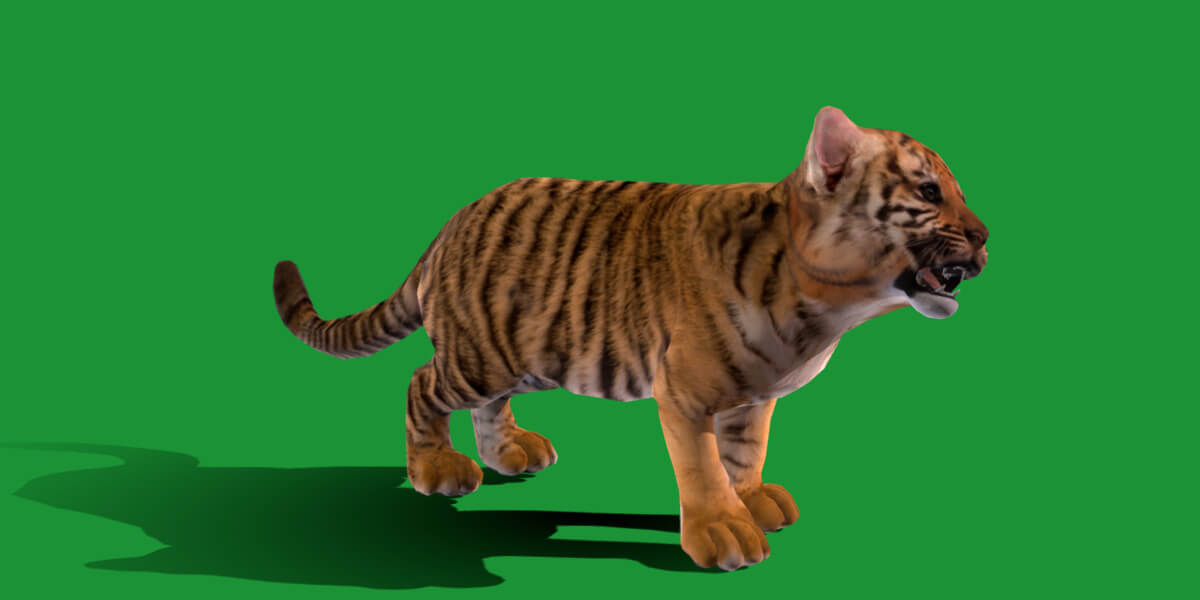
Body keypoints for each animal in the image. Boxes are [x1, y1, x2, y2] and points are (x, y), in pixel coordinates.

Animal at [272, 106, 989, 571]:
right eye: (929, 191)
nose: (986, 236)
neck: (823, 308)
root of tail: (453, 222)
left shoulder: (754, 395)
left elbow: (745, 451)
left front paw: (753, 499)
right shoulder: (685, 395)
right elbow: (702, 467)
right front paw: (723, 530)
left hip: (522, 356)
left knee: (486, 403)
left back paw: (510, 452)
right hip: (480, 356)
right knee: (422, 383)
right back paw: (436, 470)